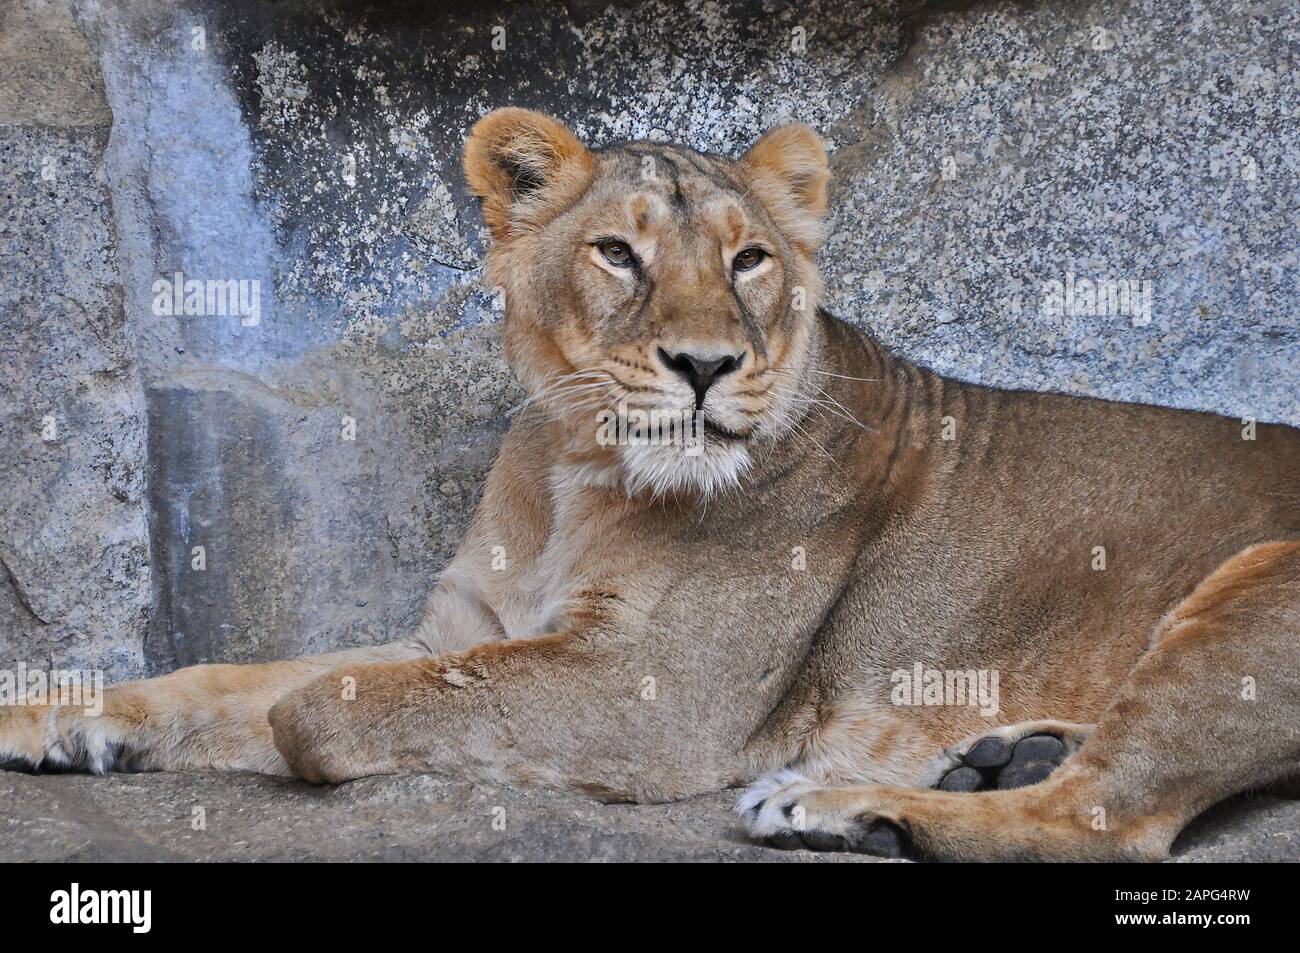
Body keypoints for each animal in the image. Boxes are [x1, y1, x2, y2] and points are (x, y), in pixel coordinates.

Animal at [3, 109, 1298, 862]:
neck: (577, 471)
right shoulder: (459, 629)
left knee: (1105, 823)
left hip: (1253, 588)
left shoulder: (660, 692)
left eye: (750, 258)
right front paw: (61, 716)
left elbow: (318, 707)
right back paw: (991, 754)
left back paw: (840, 807)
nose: (706, 363)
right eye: (618, 252)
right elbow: (239, 680)